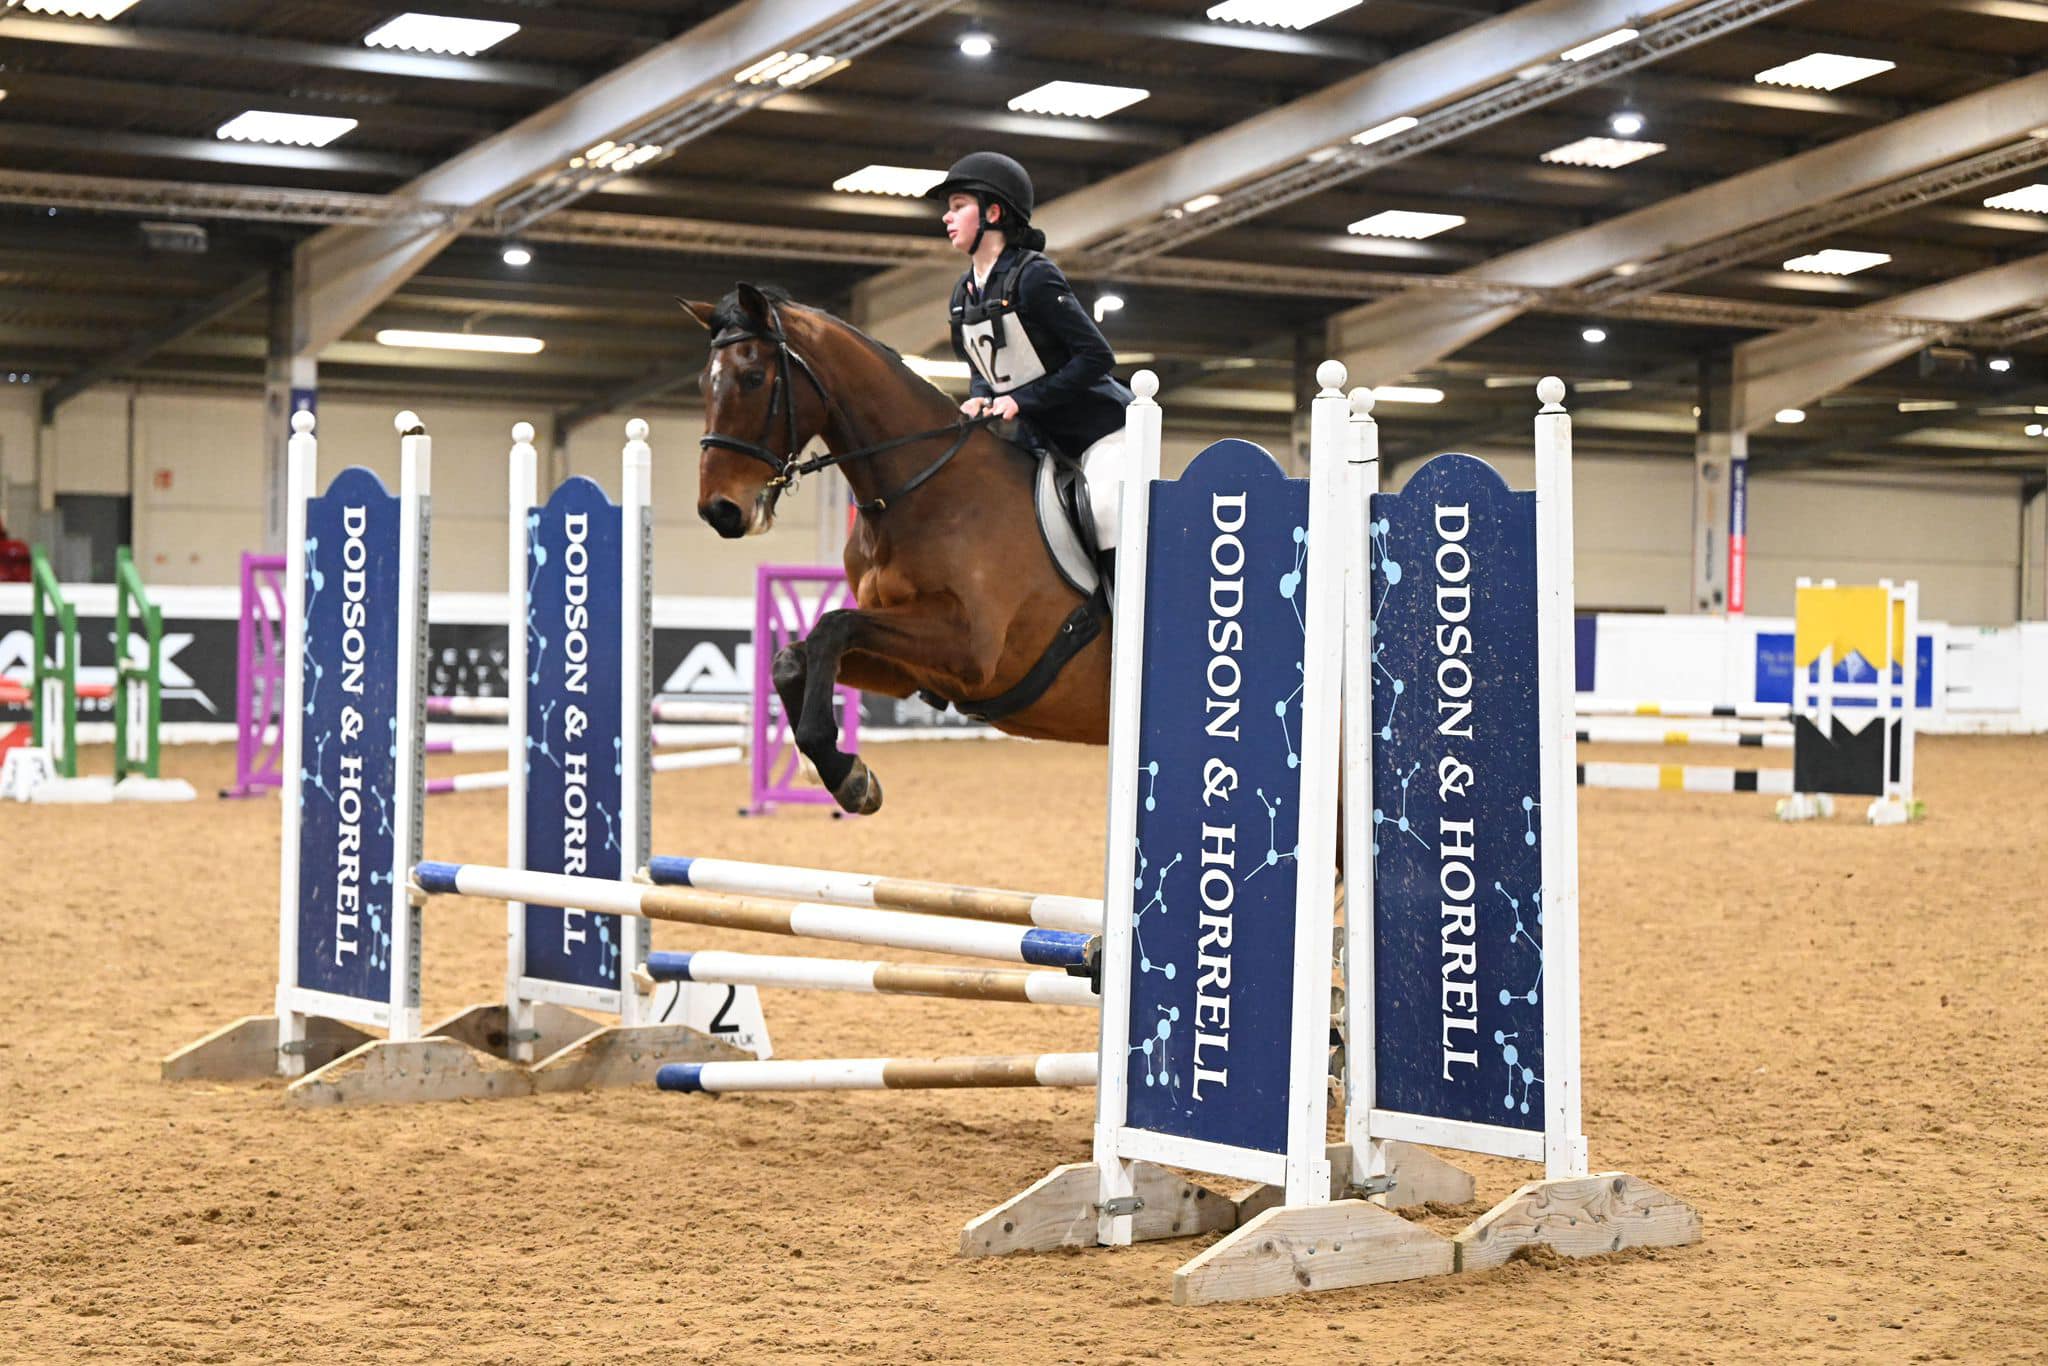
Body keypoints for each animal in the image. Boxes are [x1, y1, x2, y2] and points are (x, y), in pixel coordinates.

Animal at [682, 283, 1112, 816]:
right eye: (704, 383)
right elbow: (793, 657)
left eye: (753, 377)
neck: (919, 490)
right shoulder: (909, 667)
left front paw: (840, 767)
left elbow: (832, 625)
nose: (719, 510)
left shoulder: (971, 649)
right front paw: (836, 771)